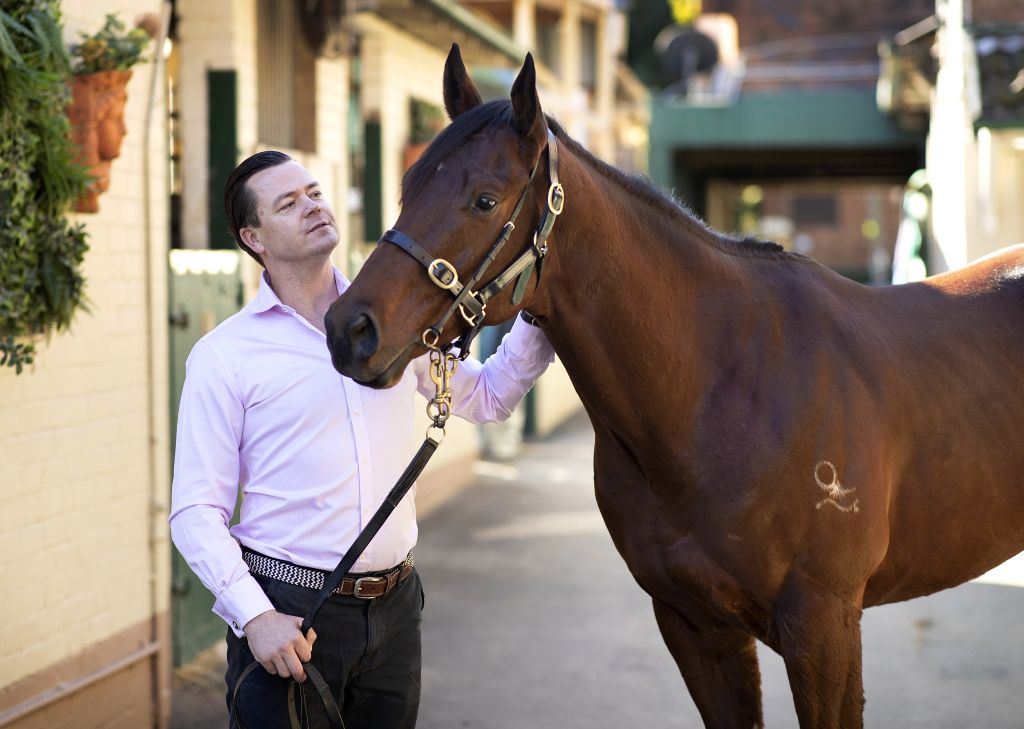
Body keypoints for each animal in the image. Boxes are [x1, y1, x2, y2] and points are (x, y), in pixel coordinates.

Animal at [324, 45, 1024, 728]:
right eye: (408, 185)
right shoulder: (695, 628)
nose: (348, 328)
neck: (725, 389)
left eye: (485, 200)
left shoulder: (824, 628)